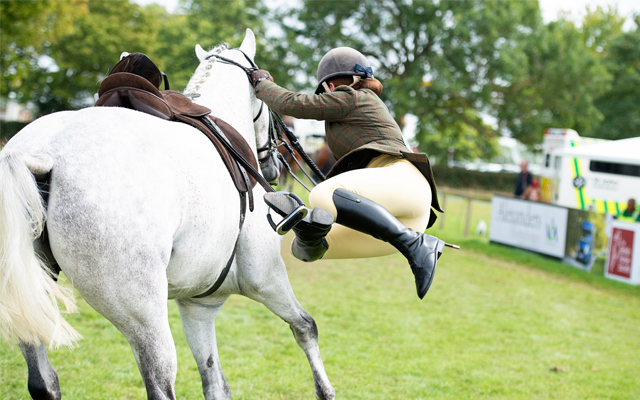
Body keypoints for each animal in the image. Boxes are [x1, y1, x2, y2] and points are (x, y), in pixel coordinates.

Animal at [0, 29, 335, 400]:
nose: (275, 165)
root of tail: (40, 153)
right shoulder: (266, 278)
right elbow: (305, 327)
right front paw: (325, 390)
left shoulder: (199, 305)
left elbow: (214, 382)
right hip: (142, 314)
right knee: (159, 382)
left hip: (26, 298)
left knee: (43, 380)